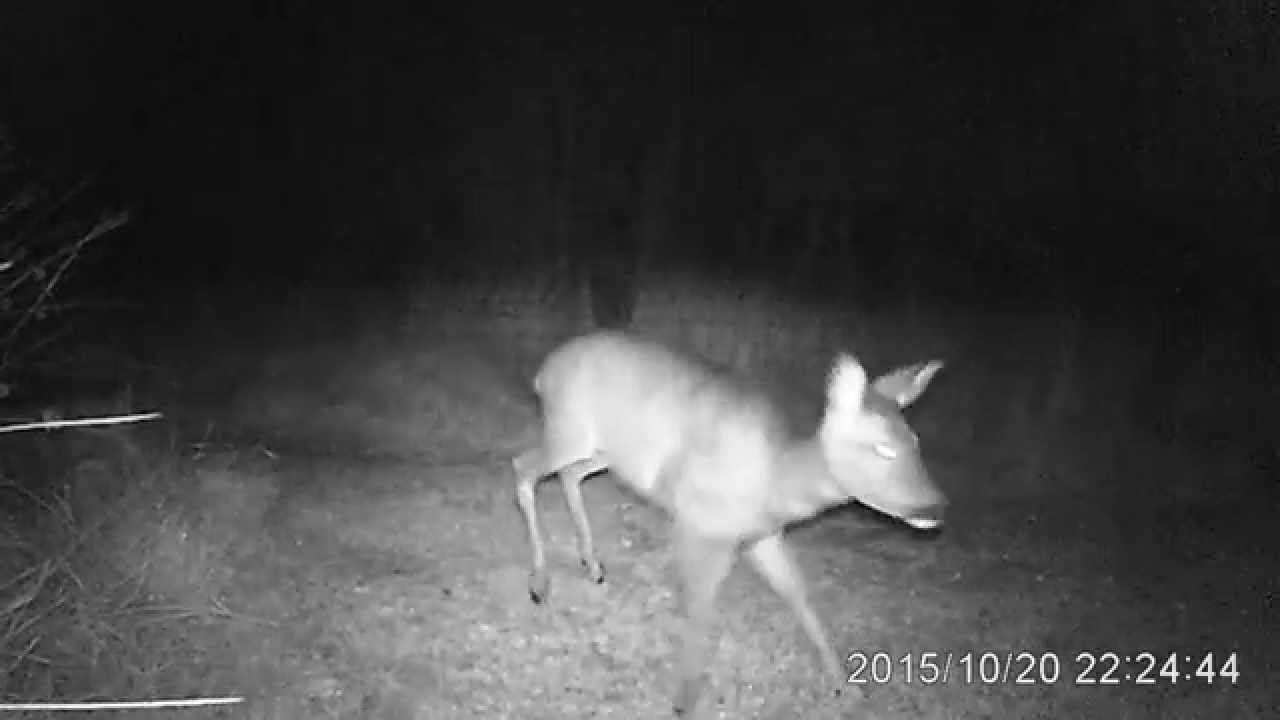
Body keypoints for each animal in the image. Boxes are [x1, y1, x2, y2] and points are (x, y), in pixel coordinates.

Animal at [511, 331, 947, 716]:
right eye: (883, 448)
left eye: (916, 441)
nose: (937, 507)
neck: (775, 480)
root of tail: (543, 371)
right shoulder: (697, 524)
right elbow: (701, 608)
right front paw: (683, 701)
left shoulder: (762, 536)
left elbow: (798, 594)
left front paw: (846, 686)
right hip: (568, 429)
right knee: (523, 467)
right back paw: (539, 583)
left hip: (604, 451)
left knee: (569, 475)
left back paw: (592, 565)